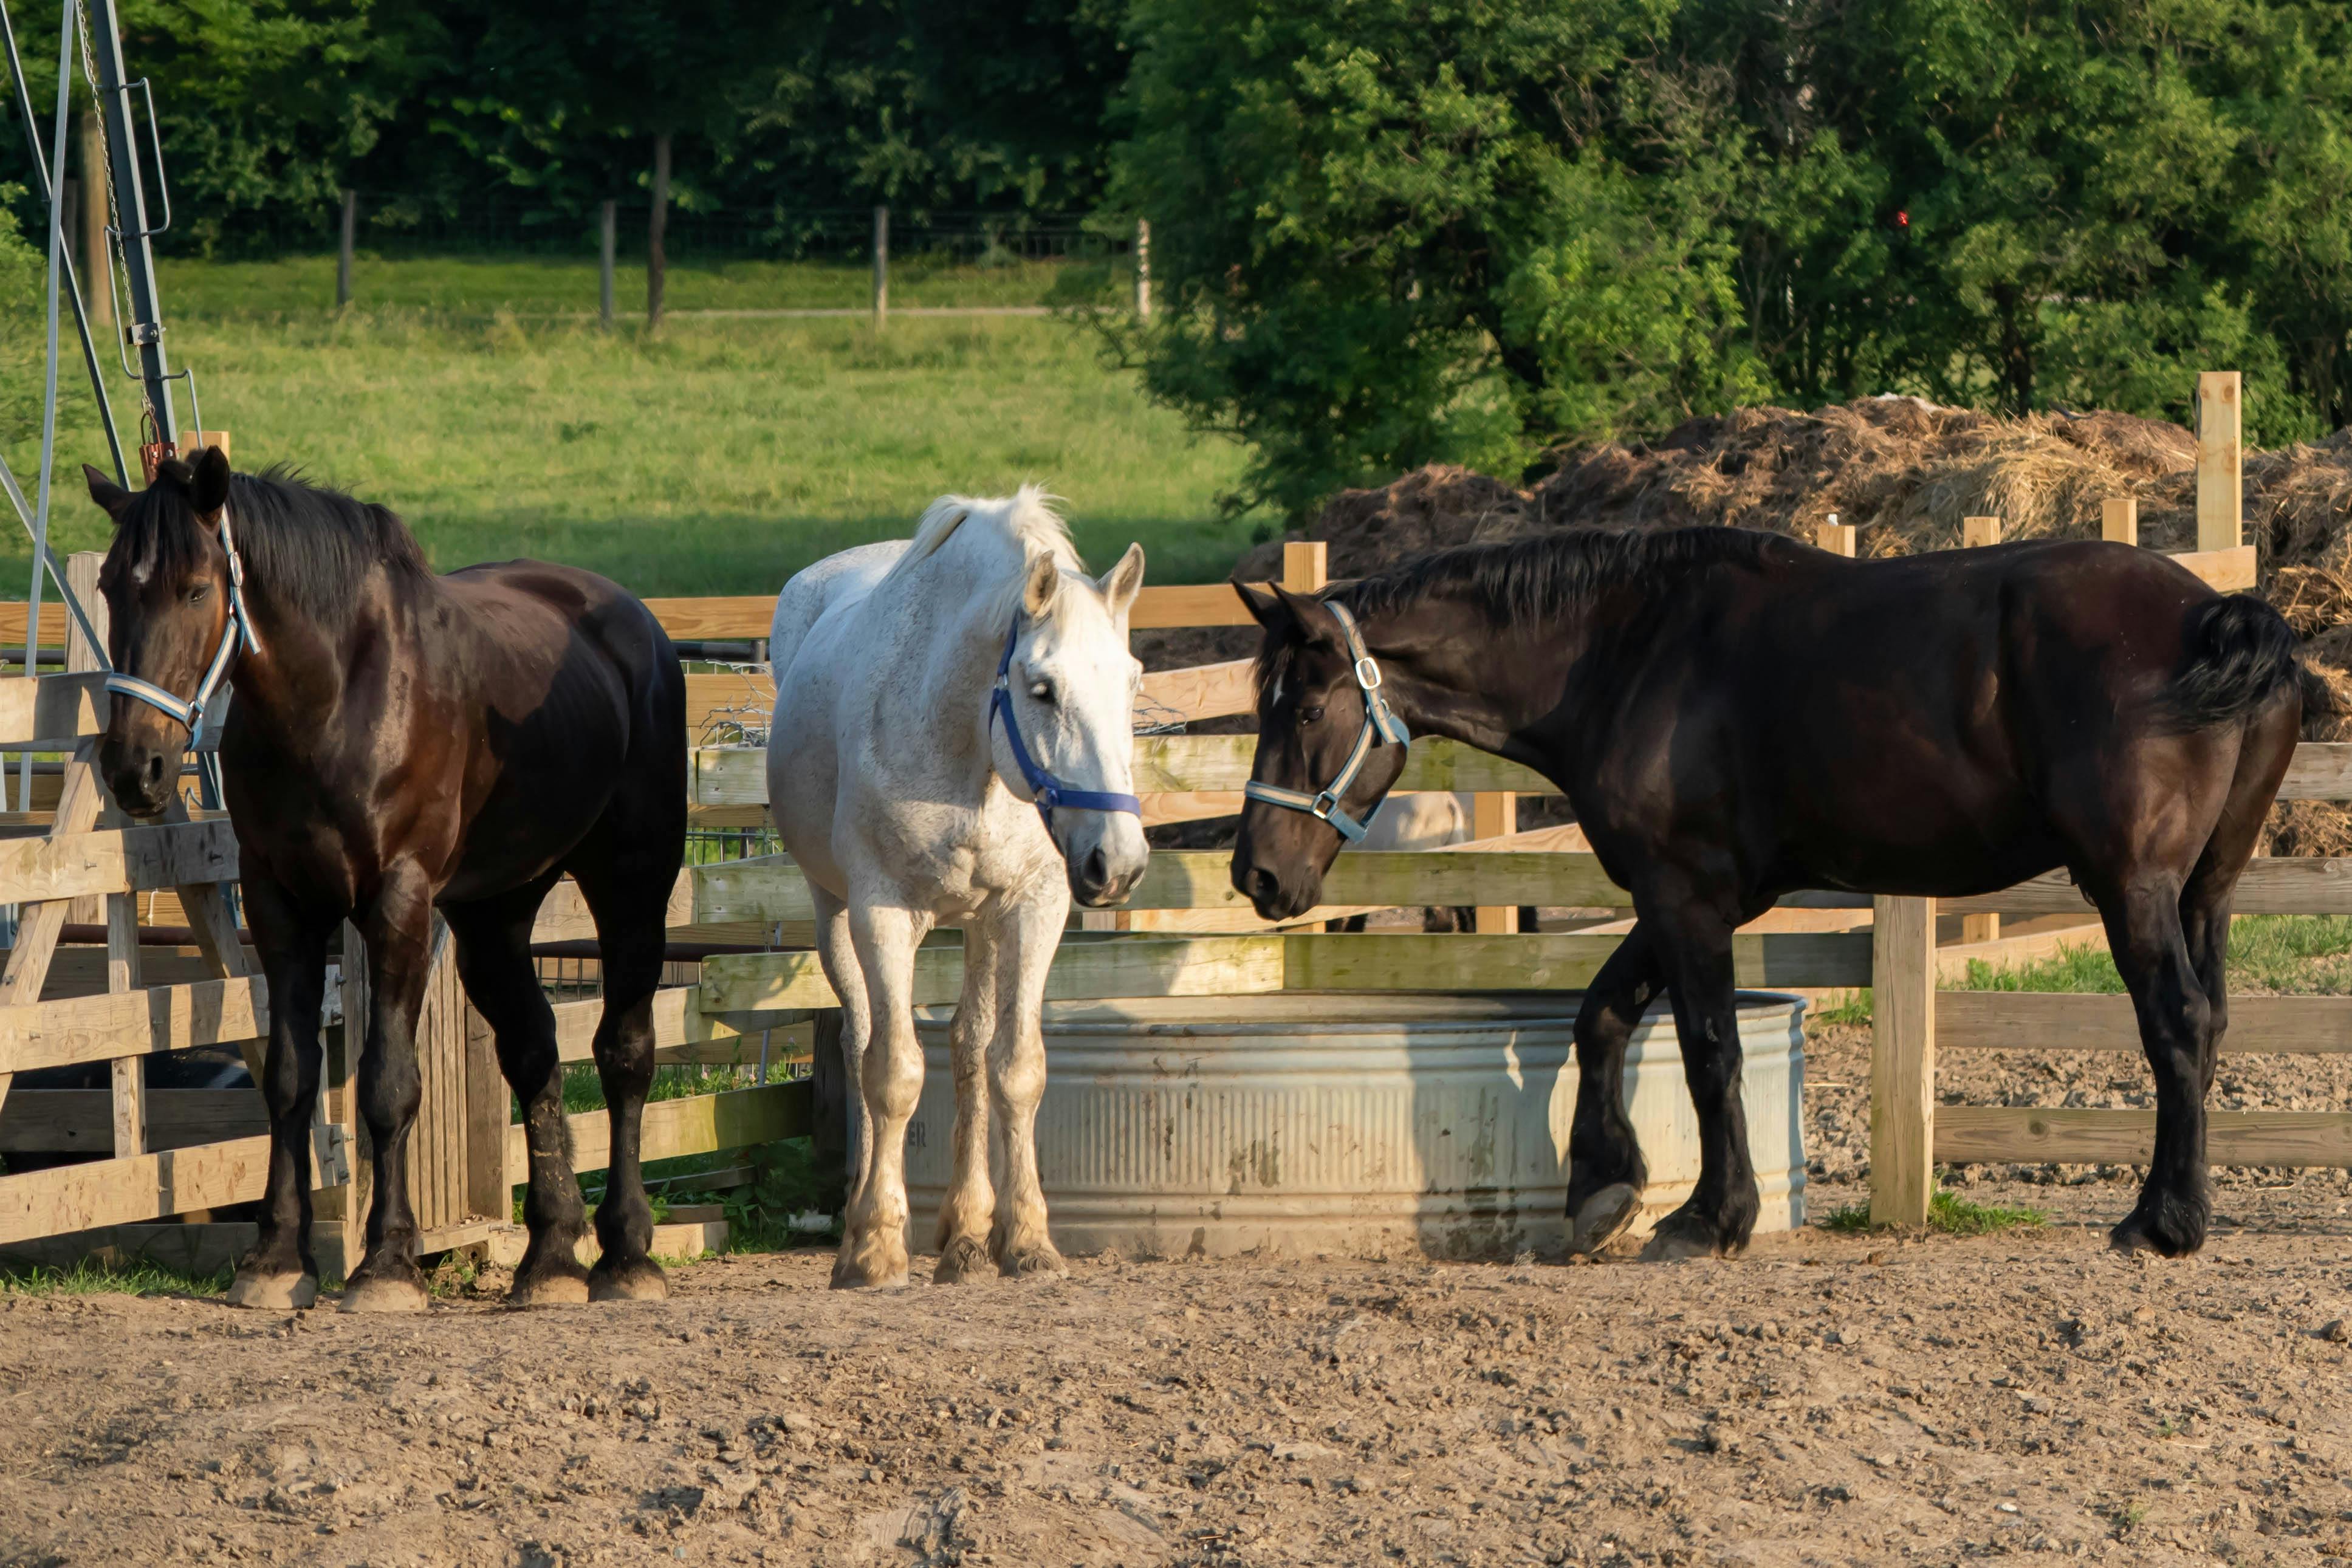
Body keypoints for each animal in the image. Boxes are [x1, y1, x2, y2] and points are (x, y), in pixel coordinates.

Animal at [84, 448, 686, 1311]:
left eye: (197, 588)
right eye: (109, 585)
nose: (137, 768)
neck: (335, 699)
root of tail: (634, 621)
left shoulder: (397, 901)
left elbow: (387, 1083)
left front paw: (387, 1261)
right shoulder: (279, 905)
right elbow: (291, 1076)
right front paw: (277, 1259)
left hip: (631, 881)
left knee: (624, 1052)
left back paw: (628, 1252)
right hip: (493, 915)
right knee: (534, 1051)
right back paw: (548, 1257)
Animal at [767, 488, 1148, 1289]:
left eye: (1131, 681)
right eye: (1042, 689)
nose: (1119, 862)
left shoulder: (1035, 909)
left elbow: (1015, 1067)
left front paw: (1028, 1239)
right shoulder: (882, 913)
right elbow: (893, 1071)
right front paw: (877, 1247)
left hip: (979, 924)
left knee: (970, 1048)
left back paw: (968, 1234)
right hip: (834, 916)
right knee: (860, 1042)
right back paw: (859, 1219)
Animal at [1231, 526, 2312, 1261]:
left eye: (1309, 708)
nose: (1256, 874)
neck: (1626, 651)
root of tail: (2209, 614)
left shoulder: (1683, 895)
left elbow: (1707, 1048)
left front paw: (1711, 1215)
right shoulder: (1689, 896)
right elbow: (1601, 1017)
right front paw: (1601, 1185)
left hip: (2132, 887)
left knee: (2174, 1024)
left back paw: (2162, 1219)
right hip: (2203, 891)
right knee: (2208, 1023)